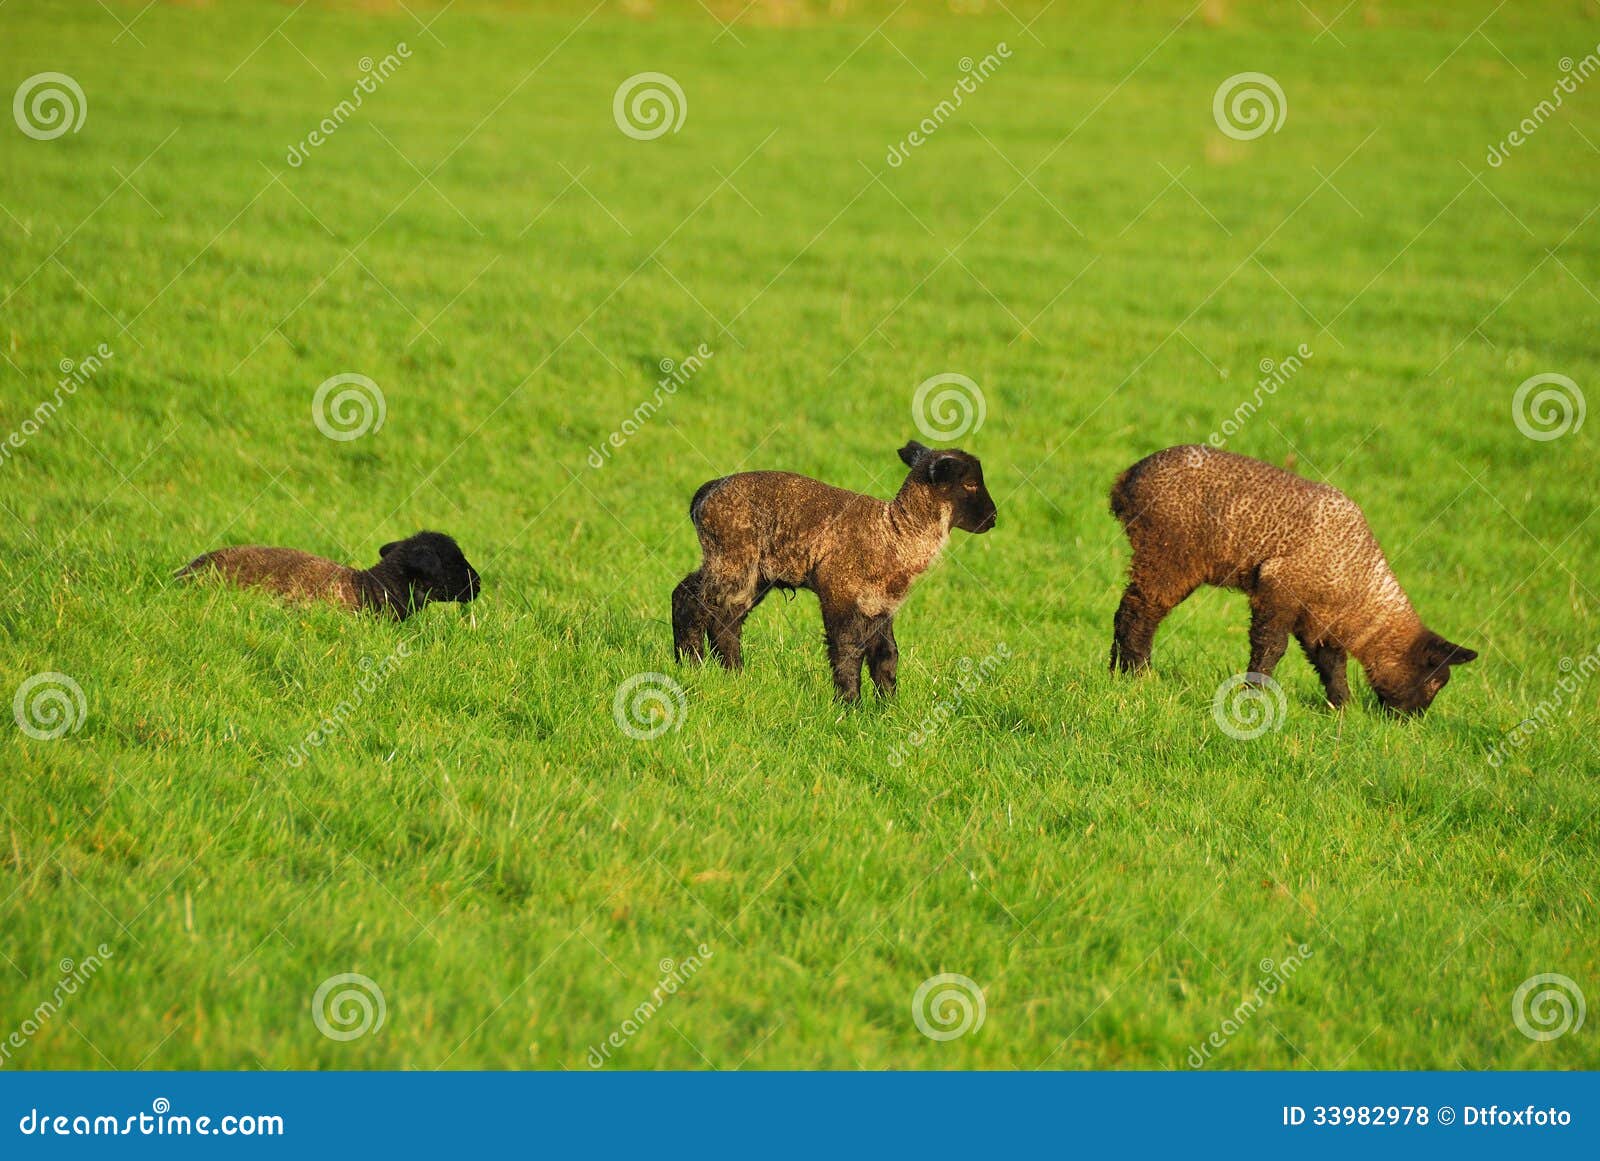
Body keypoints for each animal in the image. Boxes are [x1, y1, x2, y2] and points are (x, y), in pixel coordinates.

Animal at [672, 440, 997, 702]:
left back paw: (735, 675)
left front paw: (888, 707)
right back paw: (690, 664)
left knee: (725, 619)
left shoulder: (879, 604)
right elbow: (848, 651)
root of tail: (704, 493)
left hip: (753, 573)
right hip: (730, 557)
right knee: (688, 598)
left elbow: (886, 656)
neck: (894, 532)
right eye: (969, 484)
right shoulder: (838, 590)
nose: (993, 518)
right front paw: (850, 705)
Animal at [1109, 445, 1477, 715]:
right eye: (1436, 682)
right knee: (1139, 611)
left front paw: (1342, 708)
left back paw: (1115, 672)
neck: (1361, 585)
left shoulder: (1318, 616)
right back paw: (1138, 673)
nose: (1409, 721)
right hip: (1168, 554)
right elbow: (1272, 647)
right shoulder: (1278, 588)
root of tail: (1128, 478)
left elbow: (1331, 663)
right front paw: (1253, 692)